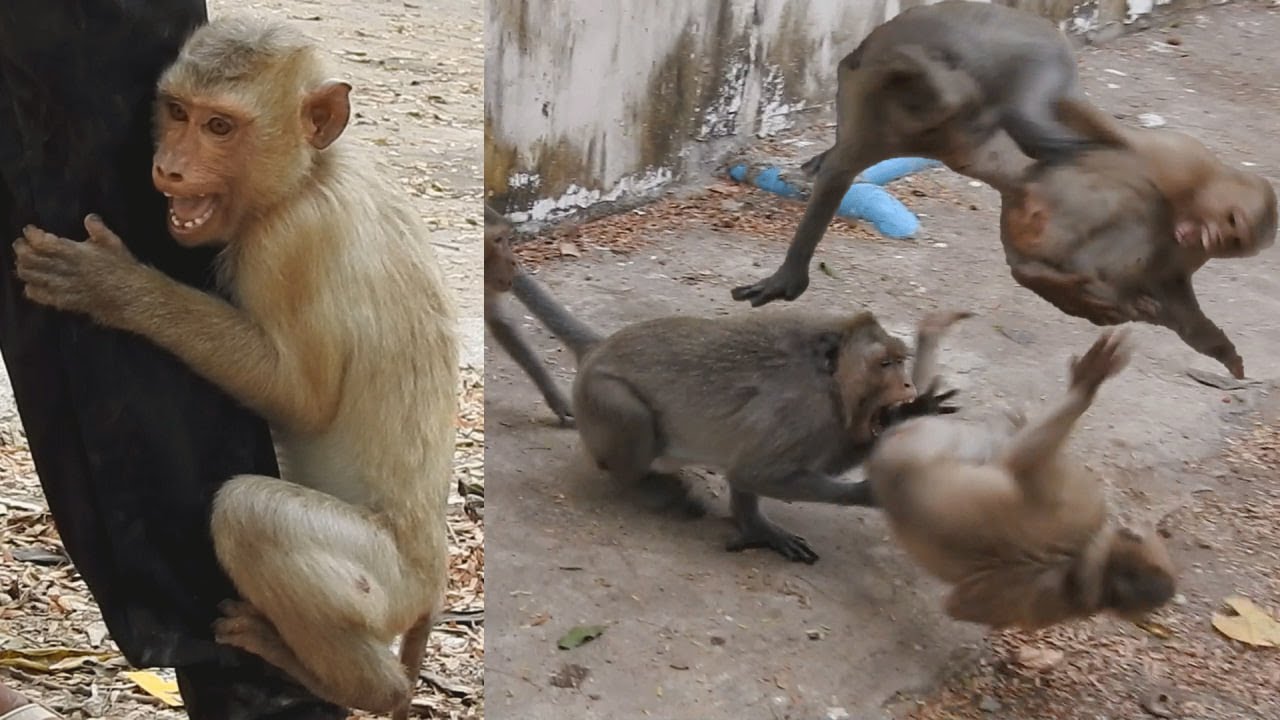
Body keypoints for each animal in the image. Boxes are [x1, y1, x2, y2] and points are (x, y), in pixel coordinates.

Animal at [12, 17, 458, 719]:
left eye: (220, 127)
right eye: (178, 113)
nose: (169, 167)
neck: (310, 174)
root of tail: (432, 589)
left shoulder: (289, 245)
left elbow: (299, 395)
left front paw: (117, 288)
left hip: (384, 584)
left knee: (250, 515)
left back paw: (356, 683)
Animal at [511, 271, 966, 562]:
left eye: (901, 361)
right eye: (885, 364)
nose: (906, 385)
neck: (829, 378)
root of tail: (598, 347)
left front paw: (913, 413)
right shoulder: (805, 412)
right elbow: (753, 471)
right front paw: (869, 494)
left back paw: (753, 527)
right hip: (599, 395)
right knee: (633, 419)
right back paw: (648, 488)